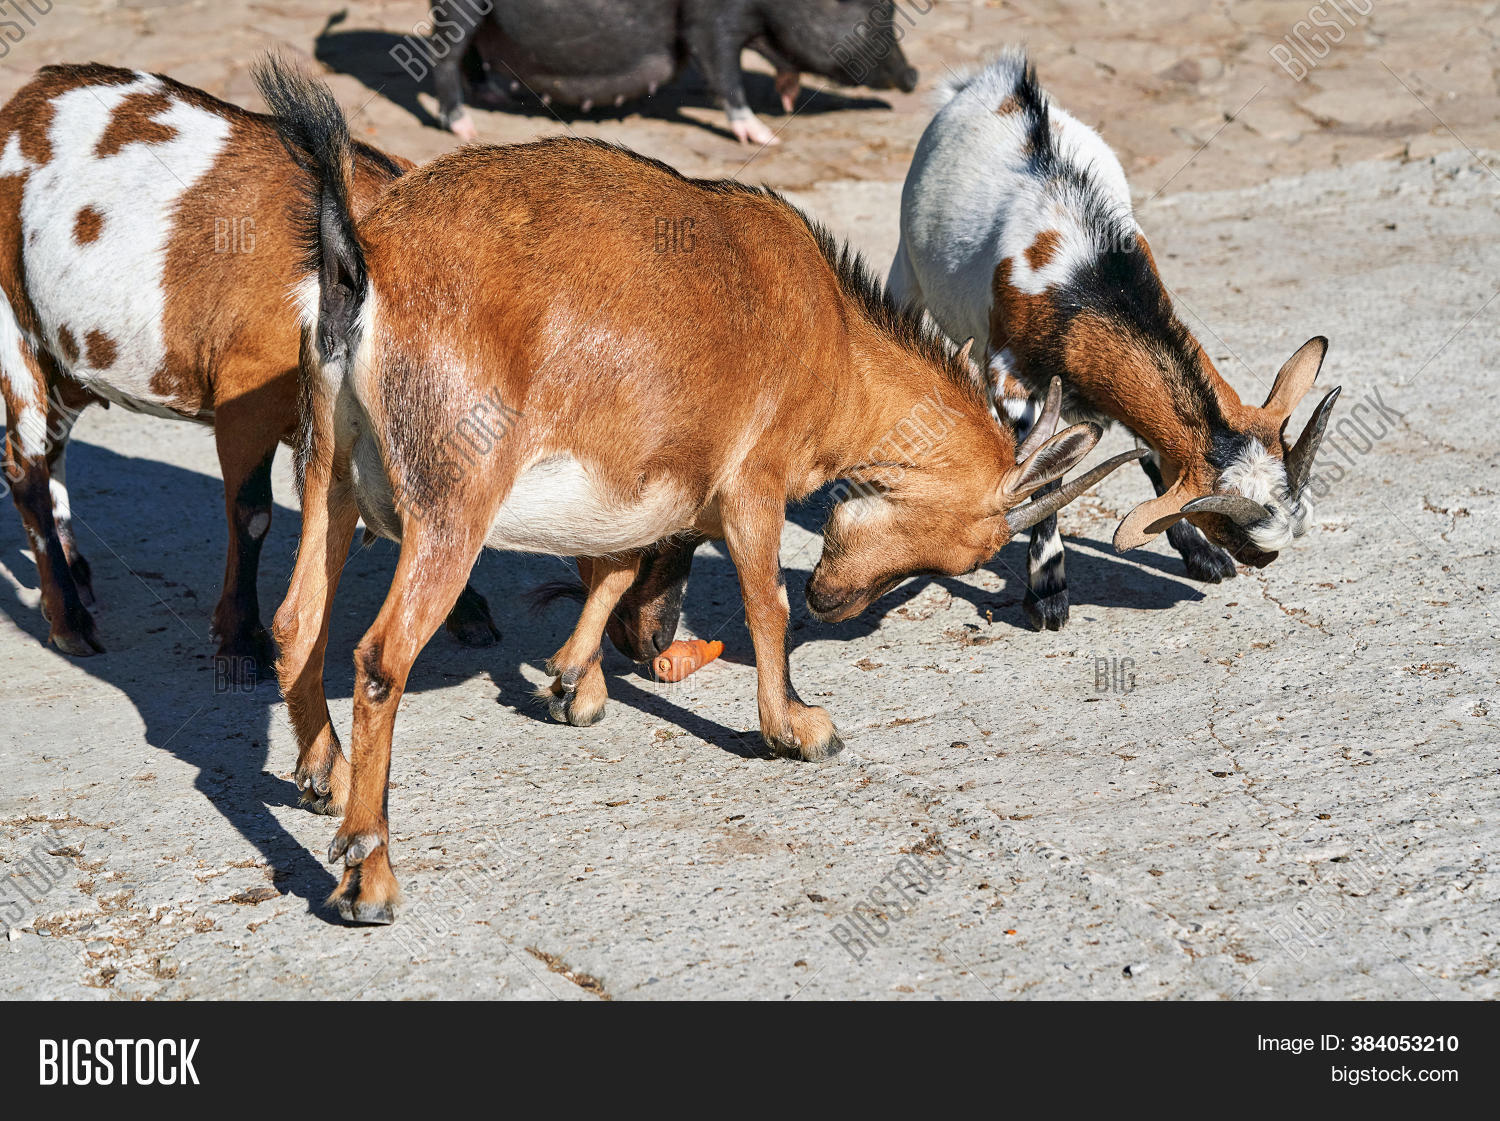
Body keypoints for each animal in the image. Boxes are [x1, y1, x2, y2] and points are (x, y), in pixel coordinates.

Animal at [0, 63, 500, 675]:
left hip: (70, 357)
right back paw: (69, 620)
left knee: (53, 450)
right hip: (14, 326)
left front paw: (469, 612)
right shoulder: (247, 397)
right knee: (26, 472)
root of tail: (26, 99)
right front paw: (240, 635)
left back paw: (76, 574)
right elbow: (251, 513)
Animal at [256, 59, 1141, 923]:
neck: (836, 340)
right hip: (453, 498)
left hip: (328, 470)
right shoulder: (755, 479)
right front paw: (799, 727)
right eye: (973, 546)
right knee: (380, 658)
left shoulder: (637, 483)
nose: (833, 601)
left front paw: (574, 685)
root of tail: (363, 269)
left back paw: (324, 778)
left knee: (298, 619)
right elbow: (764, 604)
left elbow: (615, 568)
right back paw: (369, 875)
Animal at [887, 49, 1340, 629]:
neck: (1087, 279)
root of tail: (992, 82)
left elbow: (1149, 453)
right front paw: (1048, 592)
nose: (1267, 555)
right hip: (906, 268)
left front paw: (1199, 555)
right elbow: (1047, 479)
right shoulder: (1009, 376)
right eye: (1231, 522)